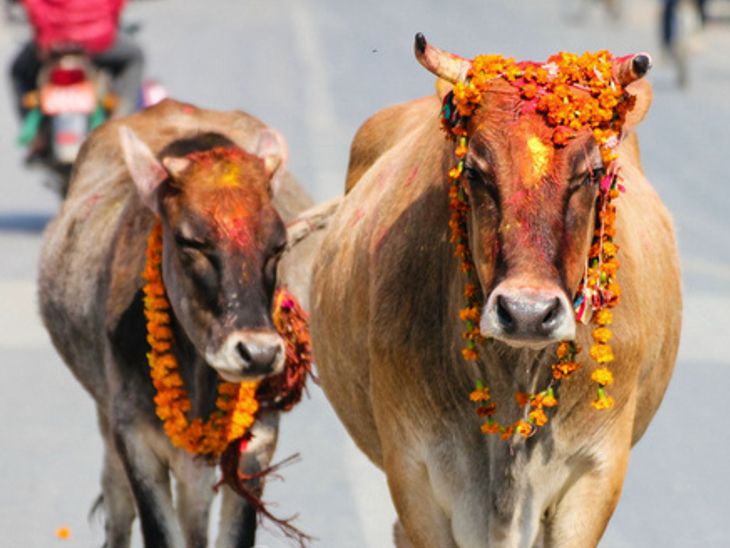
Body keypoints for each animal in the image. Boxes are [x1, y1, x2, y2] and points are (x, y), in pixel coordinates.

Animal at [38, 98, 313, 548]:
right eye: (190, 241)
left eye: (278, 244)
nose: (257, 353)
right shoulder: (134, 440)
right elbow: (160, 532)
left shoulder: (258, 443)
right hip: (108, 421)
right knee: (120, 510)